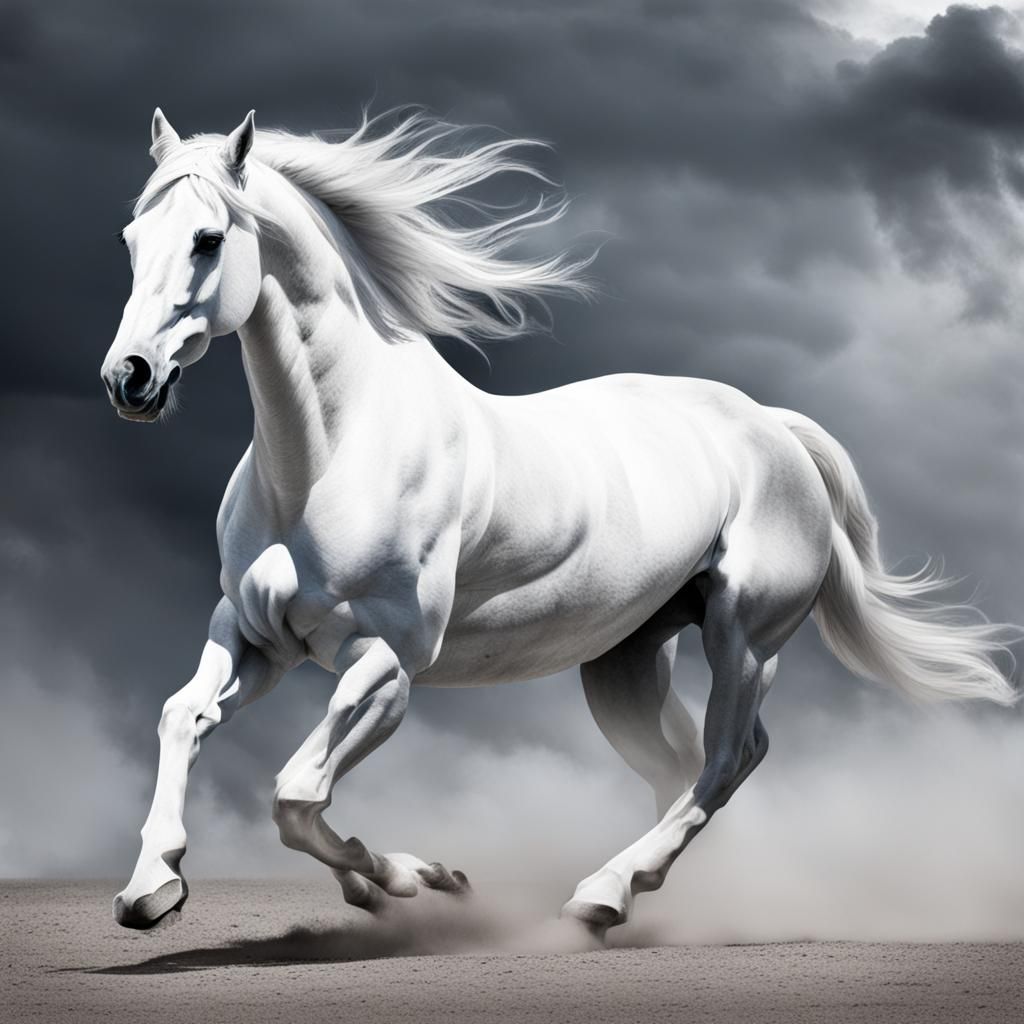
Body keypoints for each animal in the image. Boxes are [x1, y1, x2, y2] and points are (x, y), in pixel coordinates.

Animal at [101, 108, 1019, 938]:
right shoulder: (256, 636)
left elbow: (297, 794)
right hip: (624, 663)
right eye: (130, 238)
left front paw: (418, 881)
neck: (332, 455)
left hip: (746, 636)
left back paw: (601, 897)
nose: (130, 378)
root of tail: (774, 426)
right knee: (682, 767)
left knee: (728, 760)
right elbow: (184, 718)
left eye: (208, 239)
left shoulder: (389, 663)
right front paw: (154, 888)